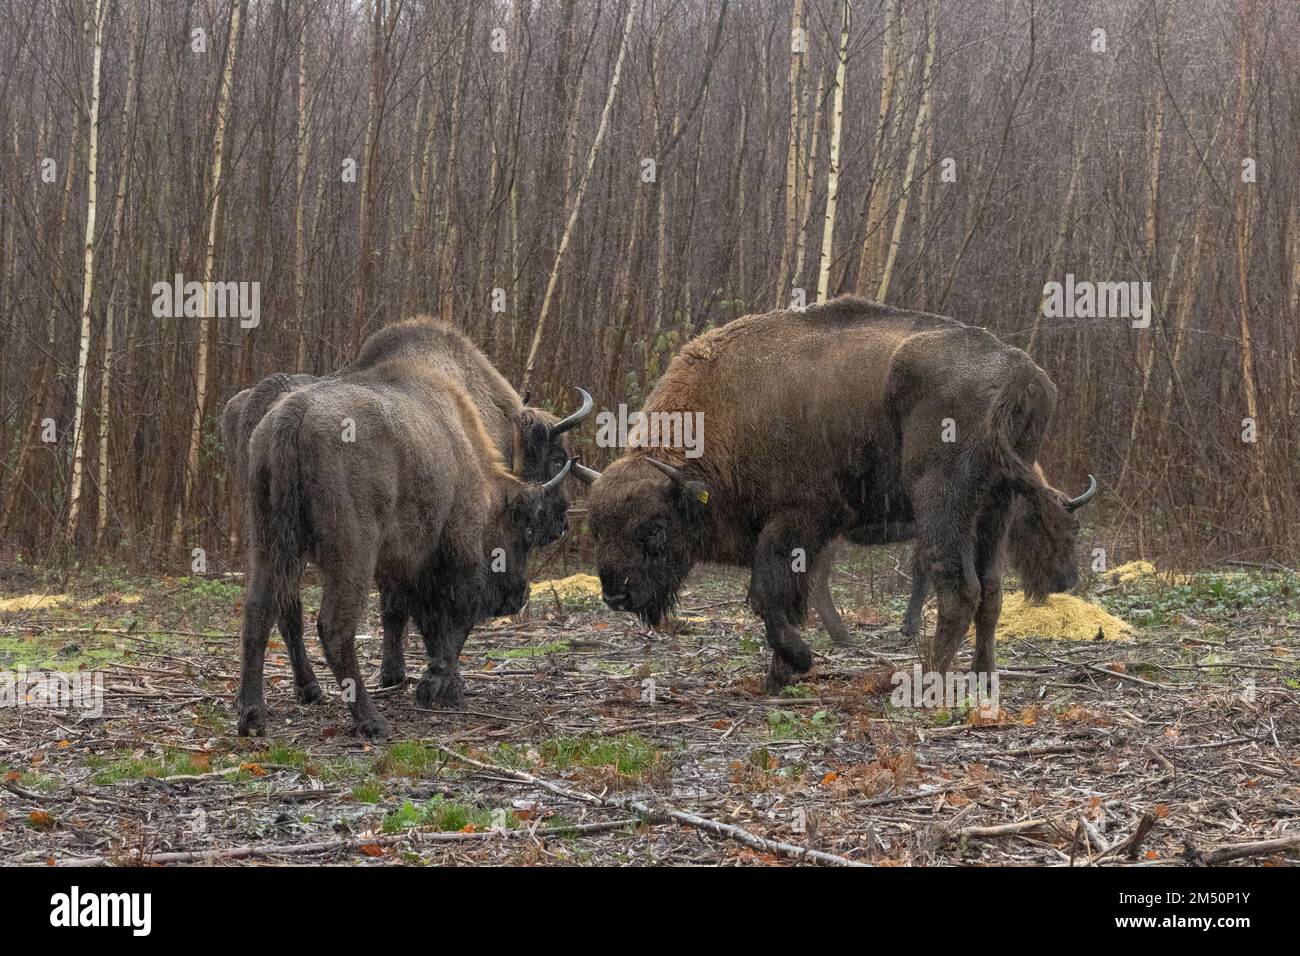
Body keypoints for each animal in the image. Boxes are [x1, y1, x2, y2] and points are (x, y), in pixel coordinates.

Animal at [221, 318, 591, 698]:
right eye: (557, 456)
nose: (560, 522)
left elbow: (400, 610)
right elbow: (425, 612)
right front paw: (422, 677)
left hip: (272, 538)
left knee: (281, 607)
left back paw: (304, 691)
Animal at [577, 297, 1096, 692]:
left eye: (654, 528)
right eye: (597, 527)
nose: (617, 596)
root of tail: (1018, 372)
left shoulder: (796, 522)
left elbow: (768, 594)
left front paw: (798, 662)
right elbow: (788, 597)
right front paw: (780, 675)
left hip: (941, 499)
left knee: (958, 587)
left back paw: (926, 678)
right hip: (996, 504)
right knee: (990, 590)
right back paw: (982, 678)